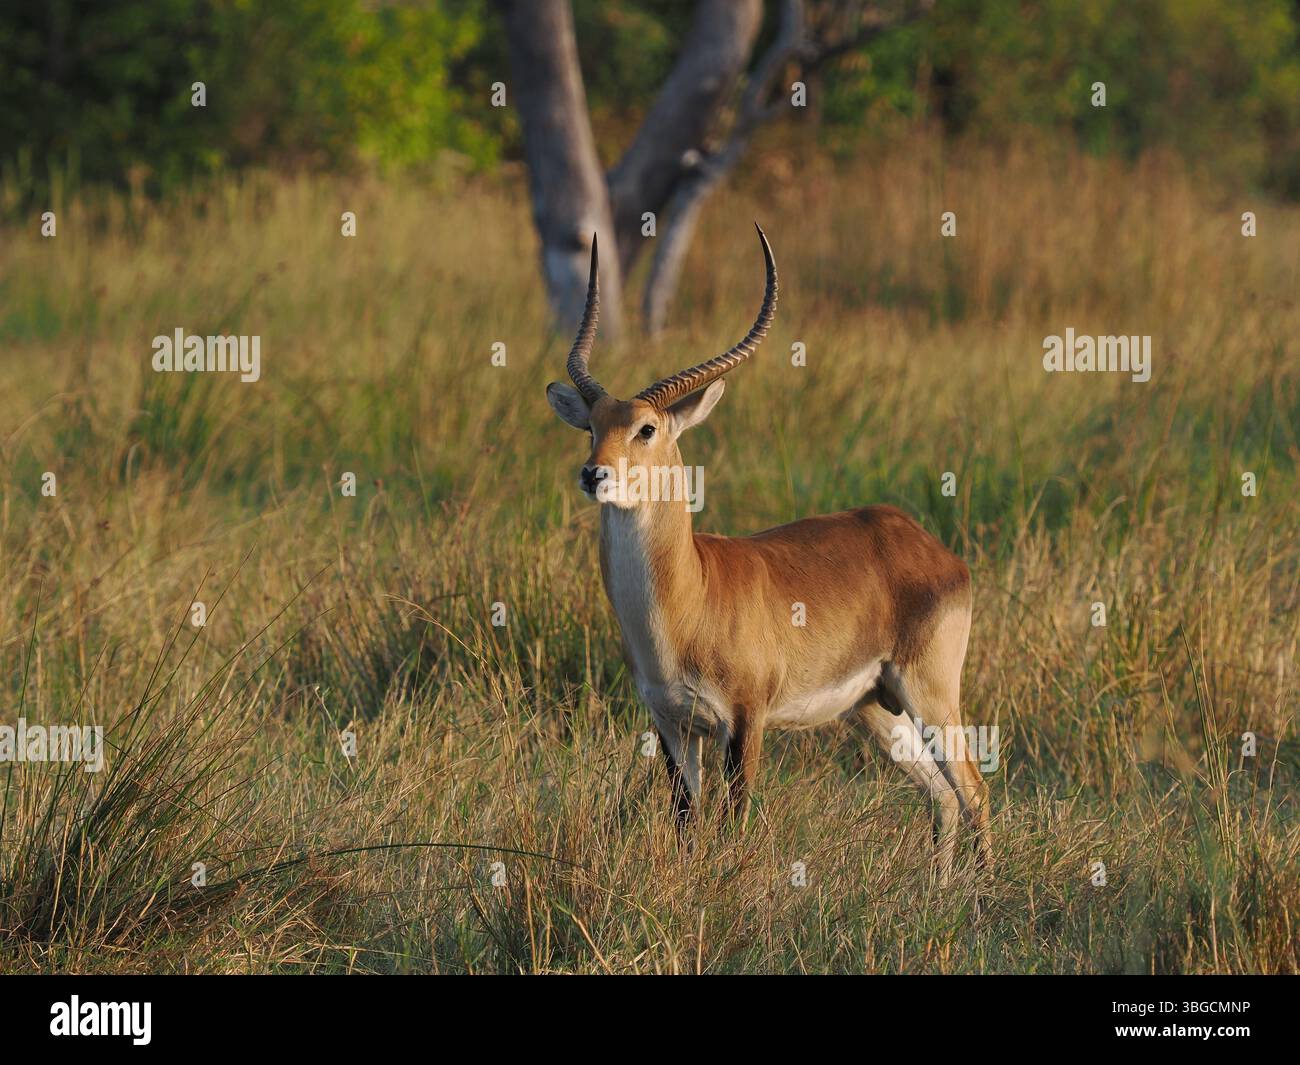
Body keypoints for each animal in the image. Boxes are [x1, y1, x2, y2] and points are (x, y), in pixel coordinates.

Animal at [546, 226, 992, 881]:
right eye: (593, 425)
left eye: (647, 429)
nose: (592, 473)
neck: (688, 598)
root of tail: (926, 543)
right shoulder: (673, 724)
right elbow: (687, 823)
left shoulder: (745, 719)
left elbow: (736, 820)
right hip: (874, 709)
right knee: (941, 795)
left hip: (929, 693)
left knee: (972, 789)